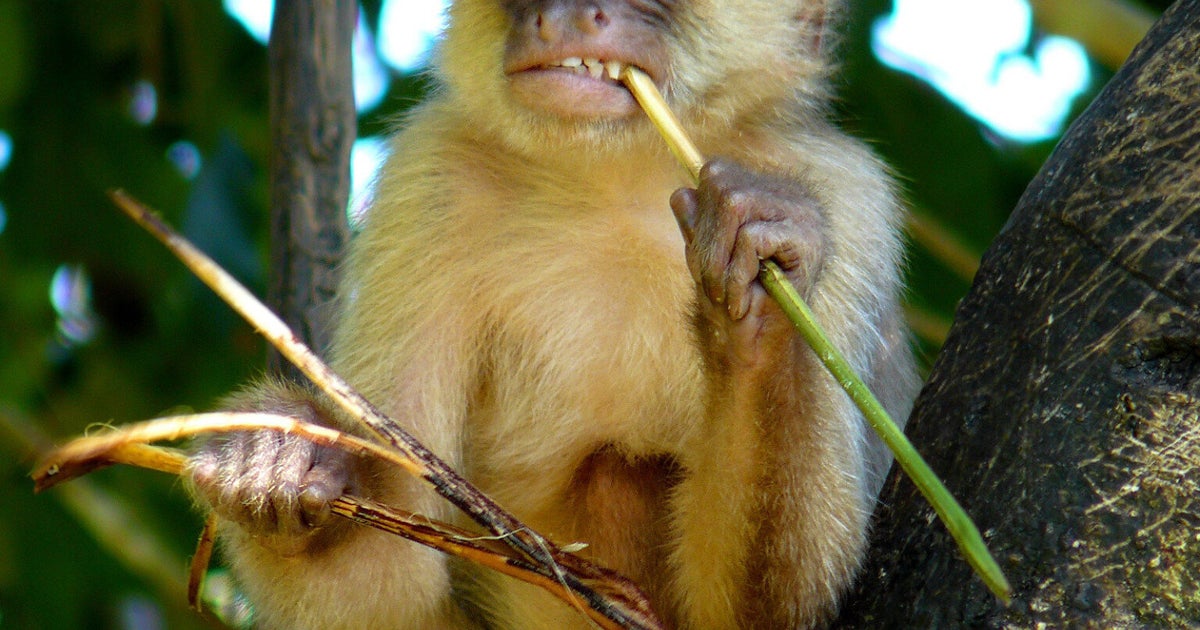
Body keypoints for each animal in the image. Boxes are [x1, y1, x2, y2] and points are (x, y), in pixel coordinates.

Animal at [187, 0, 918, 628]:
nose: (564, 15)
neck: (620, 180)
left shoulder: (848, 197)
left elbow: (780, 609)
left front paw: (760, 284)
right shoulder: (430, 177)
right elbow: (384, 585)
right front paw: (274, 461)